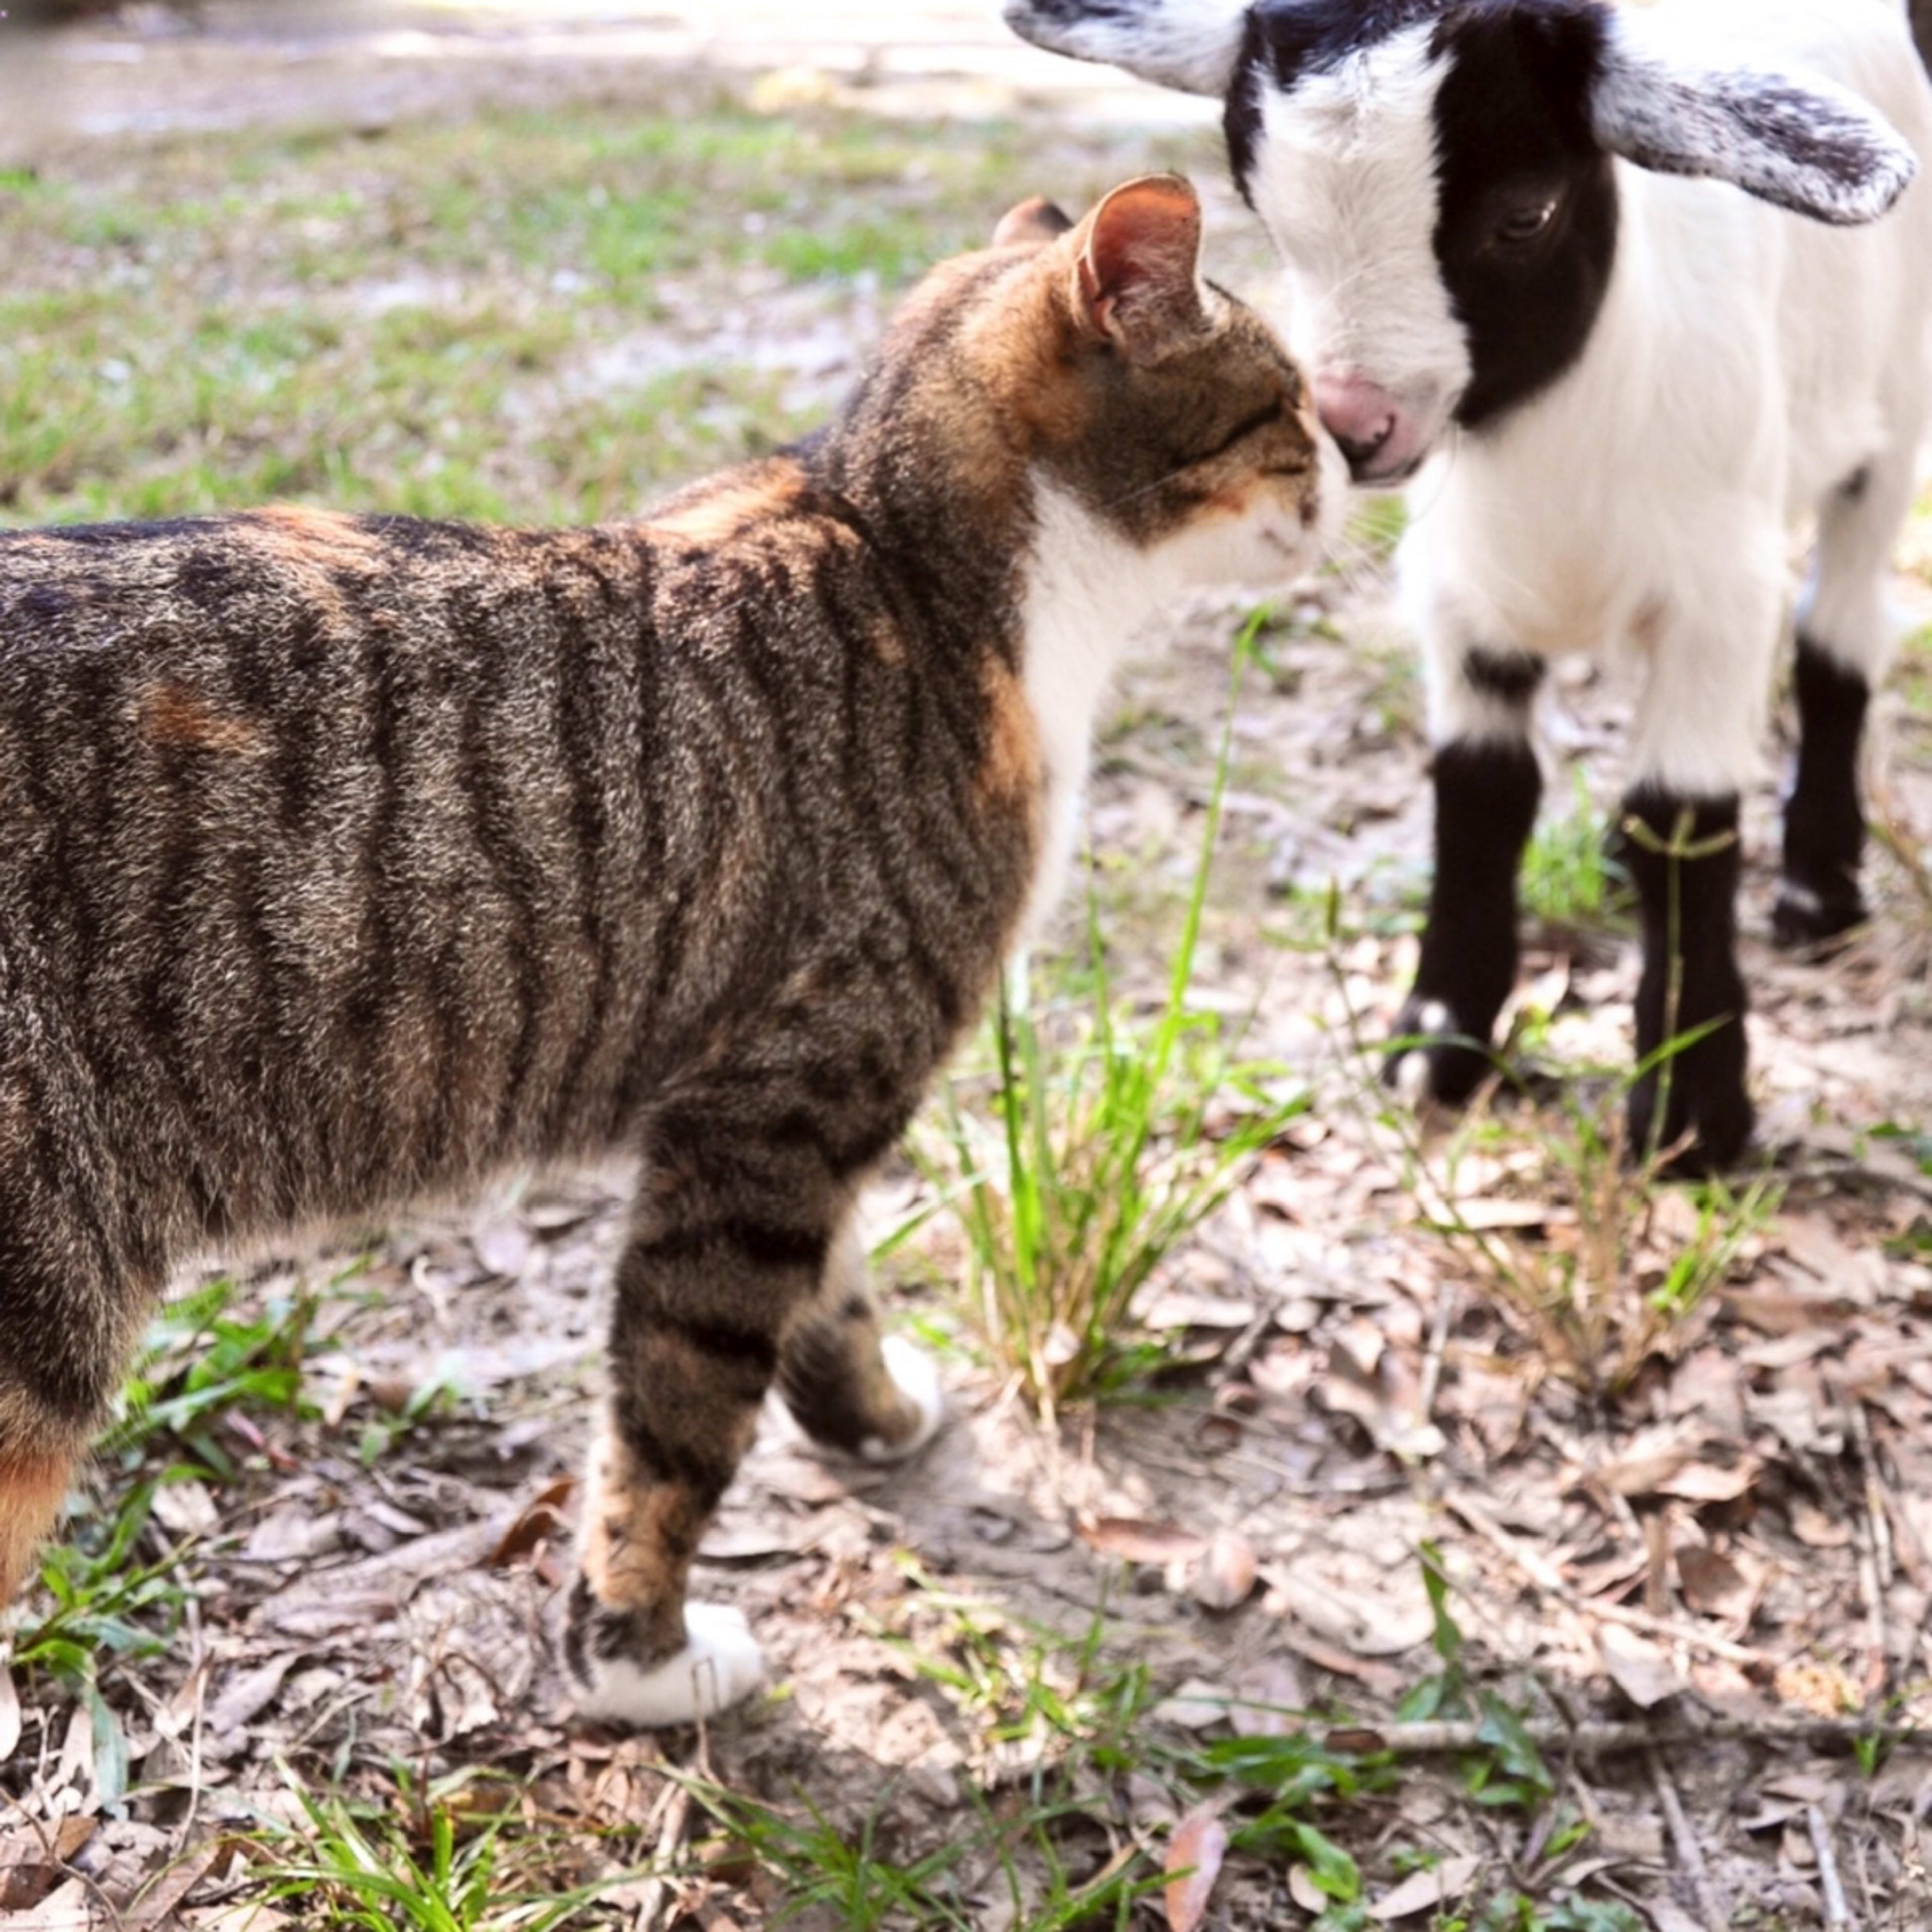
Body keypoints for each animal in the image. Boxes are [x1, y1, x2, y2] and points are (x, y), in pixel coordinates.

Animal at [1006, 0, 1932, 1169]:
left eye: (1525, 215)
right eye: (1261, 207)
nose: (1353, 428)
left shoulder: (1717, 594)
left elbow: (1685, 818)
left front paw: (1690, 1113)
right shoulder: (1459, 594)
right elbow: (1481, 796)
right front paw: (1437, 1044)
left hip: (1888, 423)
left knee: (1841, 633)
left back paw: (1818, 887)